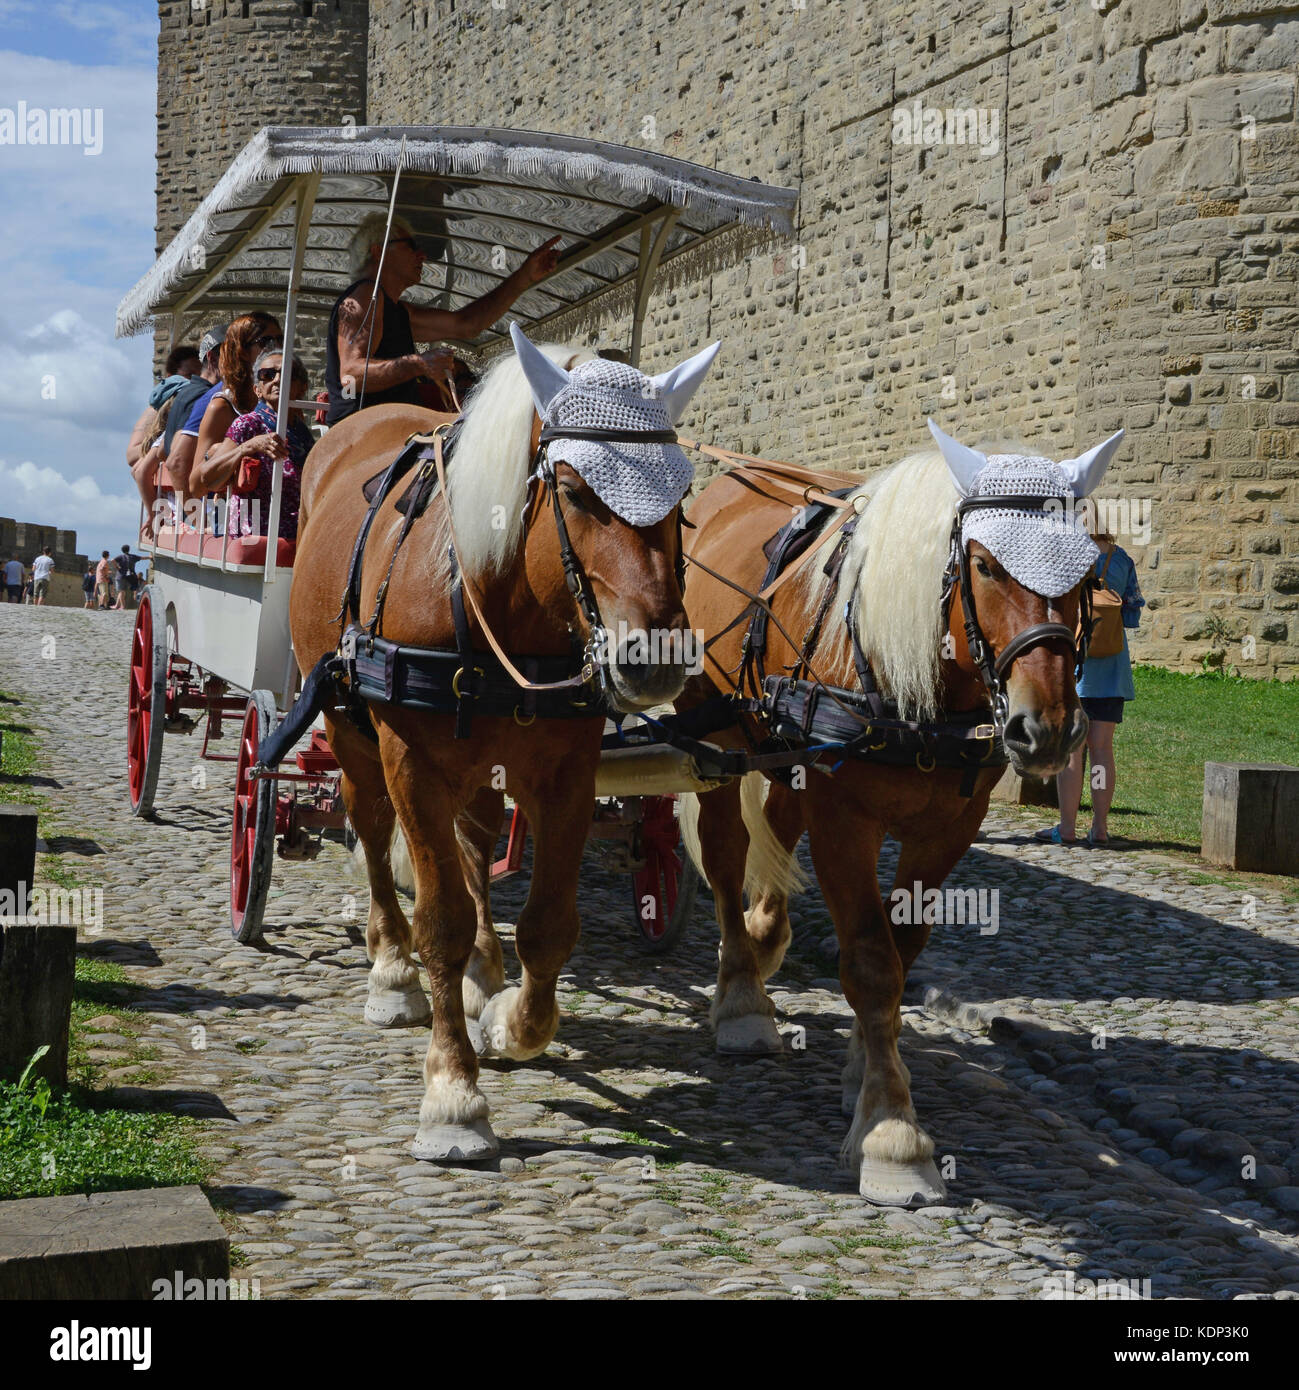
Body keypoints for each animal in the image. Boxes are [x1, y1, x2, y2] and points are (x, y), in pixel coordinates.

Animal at [289, 326, 718, 1161]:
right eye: (575, 490)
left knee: (479, 842)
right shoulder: (411, 764)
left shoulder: (566, 773)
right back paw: (392, 970)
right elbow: (441, 922)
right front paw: (453, 1094)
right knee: (371, 831)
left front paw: (511, 1021)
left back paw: (486, 974)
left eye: (682, 497)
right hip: (350, 731)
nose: (656, 659)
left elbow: (548, 925)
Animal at [676, 422, 1124, 1206]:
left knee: (772, 851)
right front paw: (892, 1134)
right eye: (984, 565)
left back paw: (764, 944)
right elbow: (870, 963)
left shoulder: (948, 826)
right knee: (727, 858)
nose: (1049, 728)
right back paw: (741, 1000)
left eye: (1087, 572)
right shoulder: (844, 816)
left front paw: (864, 1069)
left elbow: (902, 945)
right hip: (720, 738)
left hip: (785, 750)